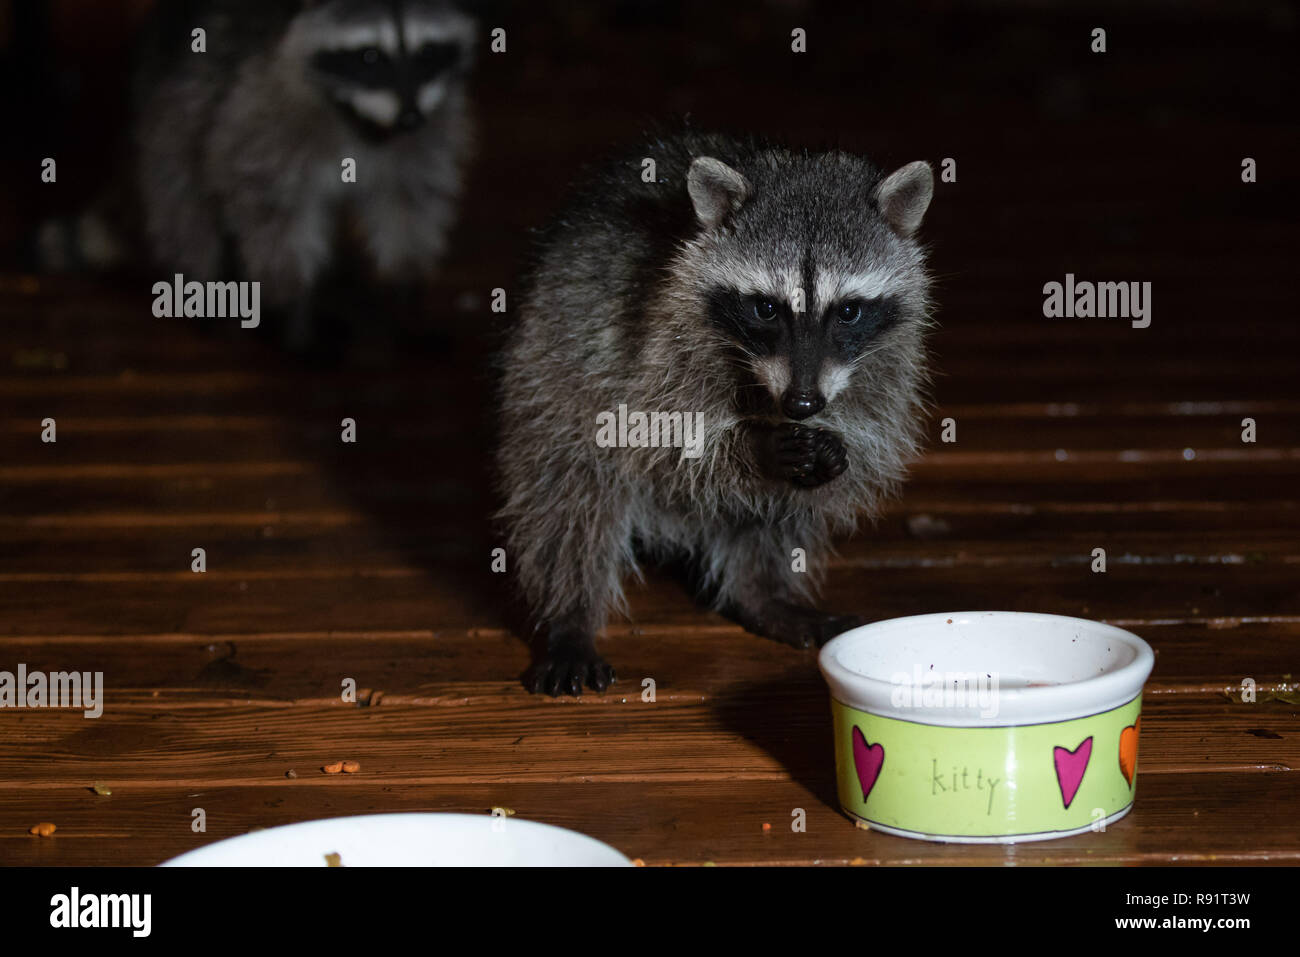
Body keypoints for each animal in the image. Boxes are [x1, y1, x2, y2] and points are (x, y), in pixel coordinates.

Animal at [131, 0, 476, 347]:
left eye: (428, 52)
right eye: (370, 55)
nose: (410, 118)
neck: (356, 117)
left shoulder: (428, 131)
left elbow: (410, 197)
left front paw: (405, 281)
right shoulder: (257, 110)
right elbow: (271, 208)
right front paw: (292, 305)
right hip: (178, 96)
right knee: (180, 197)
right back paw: (196, 278)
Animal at [497, 131, 936, 696]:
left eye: (848, 310)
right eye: (766, 308)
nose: (802, 405)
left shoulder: (888, 356)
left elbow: (869, 434)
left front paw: (838, 448)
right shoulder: (655, 335)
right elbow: (651, 439)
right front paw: (754, 447)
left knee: (771, 516)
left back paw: (765, 593)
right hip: (550, 367)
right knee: (571, 491)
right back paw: (569, 616)